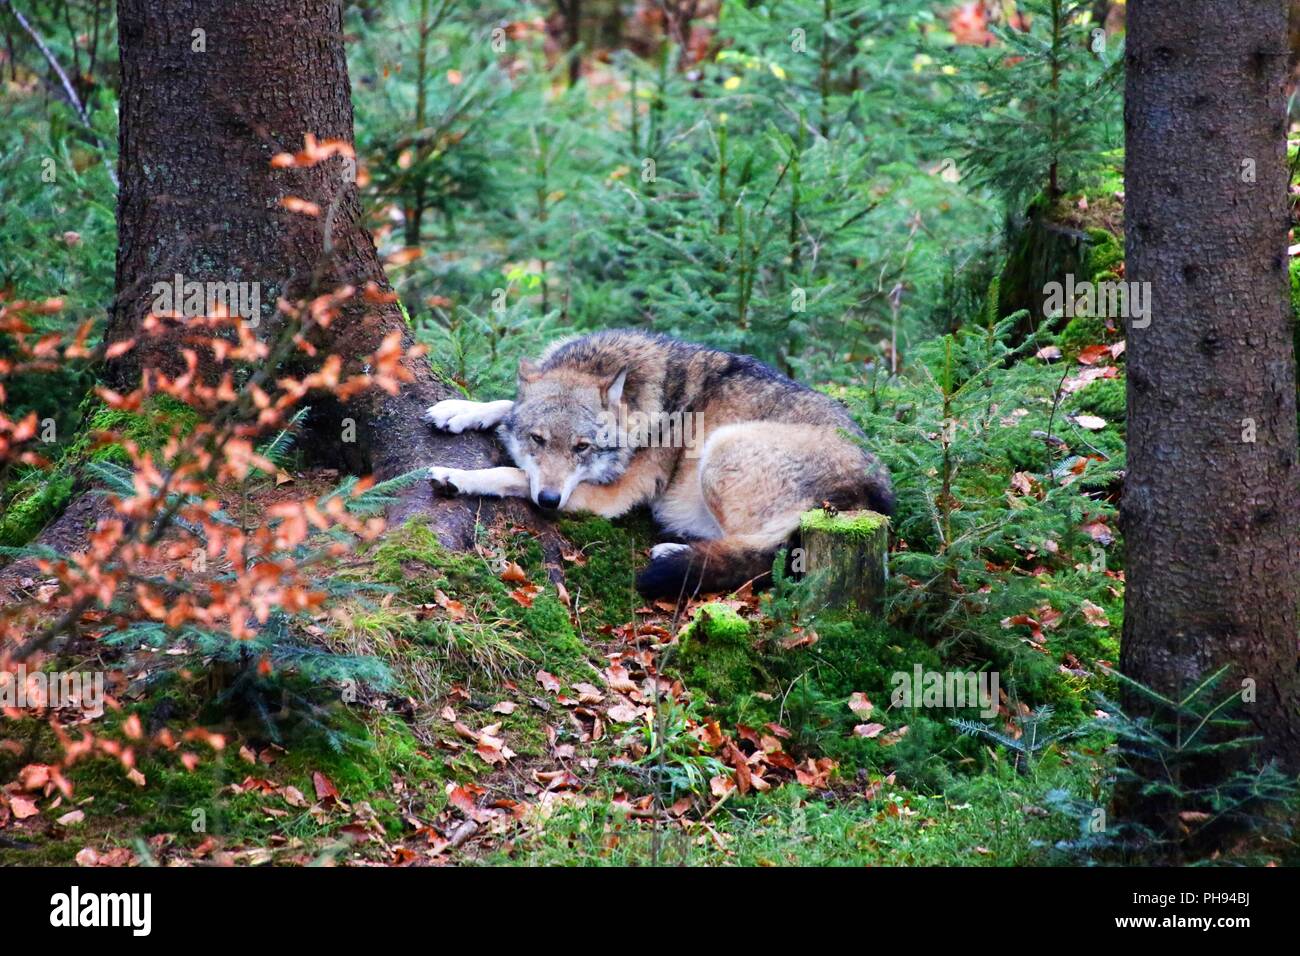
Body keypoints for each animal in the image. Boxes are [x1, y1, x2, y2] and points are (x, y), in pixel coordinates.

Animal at [424, 330, 893, 598]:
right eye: (538, 440)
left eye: (582, 447)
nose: (551, 500)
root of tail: (876, 500)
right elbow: (507, 405)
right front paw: (459, 410)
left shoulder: (608, 497)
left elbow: (511, 473)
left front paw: (456, 476)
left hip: (722, 449)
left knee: (761, 556)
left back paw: (672, 553)